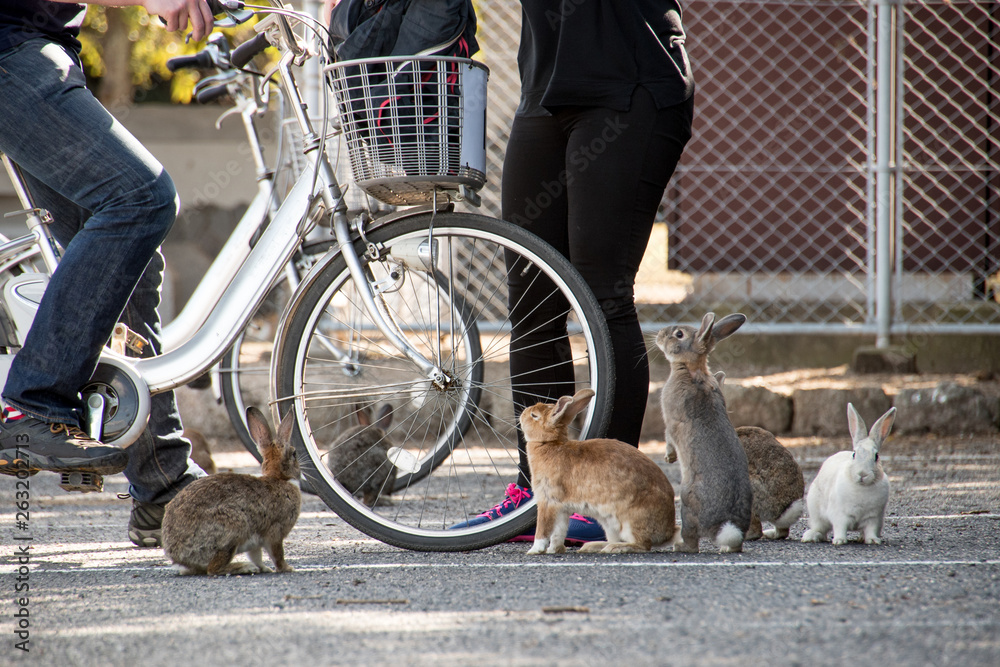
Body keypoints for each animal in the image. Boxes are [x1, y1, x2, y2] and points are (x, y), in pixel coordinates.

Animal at [162, 407, 300, 575]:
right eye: (294, 454)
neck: (279, 478)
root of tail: (177, 554)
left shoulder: (256, 543)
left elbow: (256, 555)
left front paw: (264, 568)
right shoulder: (275, 532)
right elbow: (277, 554)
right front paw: (287, 568)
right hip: (234, 528)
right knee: (213, 569)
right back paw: (244, 567)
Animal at [521, 389, 677, 555]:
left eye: (534, 415)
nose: (523, 413)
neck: (548, 443)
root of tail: (667, 533)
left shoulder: (547, 501)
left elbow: (542, 530)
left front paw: (534, 551)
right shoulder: (561, 509)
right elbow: (558, 532)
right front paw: (554, 550)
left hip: (630, 520)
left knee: (642, 544)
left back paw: (613, 548)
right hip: (608, 523)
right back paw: (593, 546)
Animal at [655, 312, 753, 553]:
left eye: (679, 334)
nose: (660, 334)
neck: (691, 369)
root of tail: (725, 526)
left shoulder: (670, 421)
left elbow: (668, 436)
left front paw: (669, 457)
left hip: (687, 503)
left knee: (692, 541)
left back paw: (680, 547)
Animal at [802, 403, 895, 546]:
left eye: (876, 456)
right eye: (854, 454)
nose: (862, 474)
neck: (862, 487)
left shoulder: (873, 518)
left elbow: (871, 530)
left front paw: (873, 540)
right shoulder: (840, 515)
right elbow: (840, 527)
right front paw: (839, 540)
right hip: (815, 510)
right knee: (820, 529)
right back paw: (811, 536)